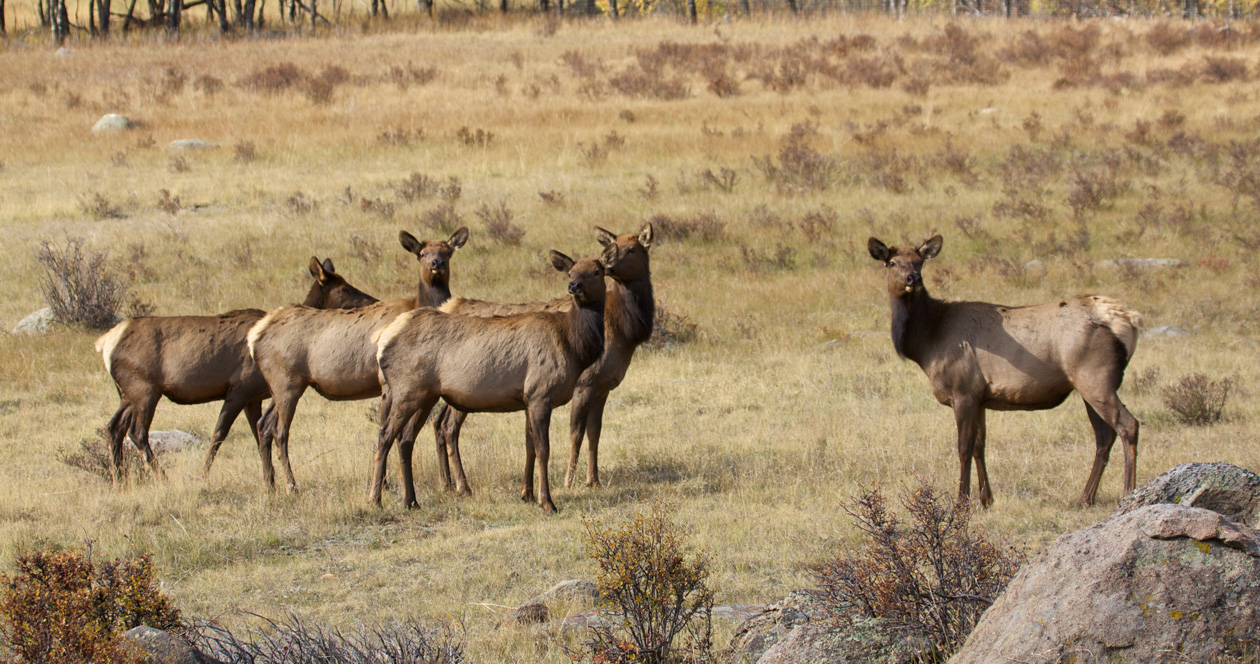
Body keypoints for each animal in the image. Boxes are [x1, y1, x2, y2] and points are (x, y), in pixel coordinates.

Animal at [95, 256, 377, 484]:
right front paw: (202, 474)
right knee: (137, 432)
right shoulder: (240, 387)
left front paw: (269, 479)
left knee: (113, 427)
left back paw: (119, 479)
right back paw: (161, 477)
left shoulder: (254, 397)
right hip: (144, 389)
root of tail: (105, 343)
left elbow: (257, 433)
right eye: (344, 287)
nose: (374, 300)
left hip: (126, 392)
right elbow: (220, 432)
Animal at [247, 227, 468, 493]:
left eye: (447, 251)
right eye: (422, 253)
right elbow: (390, 431)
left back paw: (270, 485)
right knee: (280, 431)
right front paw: (387, 483)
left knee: (264, 424)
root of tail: (254, 337)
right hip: (286, 382)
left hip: (282, 384)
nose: (437, 263)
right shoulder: (388, 382)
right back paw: (291, 486)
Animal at [372, 251, 607, 512]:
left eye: (597, 271)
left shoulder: (528, 399)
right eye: (571, 272)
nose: (574, 285)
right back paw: (376, 498)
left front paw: (527, 494)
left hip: (425, 395)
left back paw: (411, 500)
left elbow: (529, 447)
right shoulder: (540, 394)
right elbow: (543, 449)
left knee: (405, 439)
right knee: (385, 435)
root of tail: (382, 337)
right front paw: (547, 502)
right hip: (407, 389)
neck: (575, 347)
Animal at [431, 224, 654, 496]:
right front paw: (570, 481)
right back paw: (463, 486)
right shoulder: (585, 382)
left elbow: (595, 432)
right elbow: (576, 432)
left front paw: (594, 479)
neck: (625, 331)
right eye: (611, 246)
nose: (609, 264)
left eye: (632, 248)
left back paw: (446, 482)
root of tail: (449, 305)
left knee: (437, 422)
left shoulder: (603, 386)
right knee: (449, 427)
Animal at [867, 235, 1141, 508]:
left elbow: (963, 448)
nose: (913, 278)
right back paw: (1085, 497)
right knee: (1104, 435)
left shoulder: (963, 390)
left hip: (1096, 377)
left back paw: (1128, 493)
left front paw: (961, 501)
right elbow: (980, 446)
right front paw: (986, 499)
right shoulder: (979, 396)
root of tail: (1129, 320)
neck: (927, 343)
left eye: (919, 261)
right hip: (1087, 385)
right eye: (892, 262)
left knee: (1128, 425)